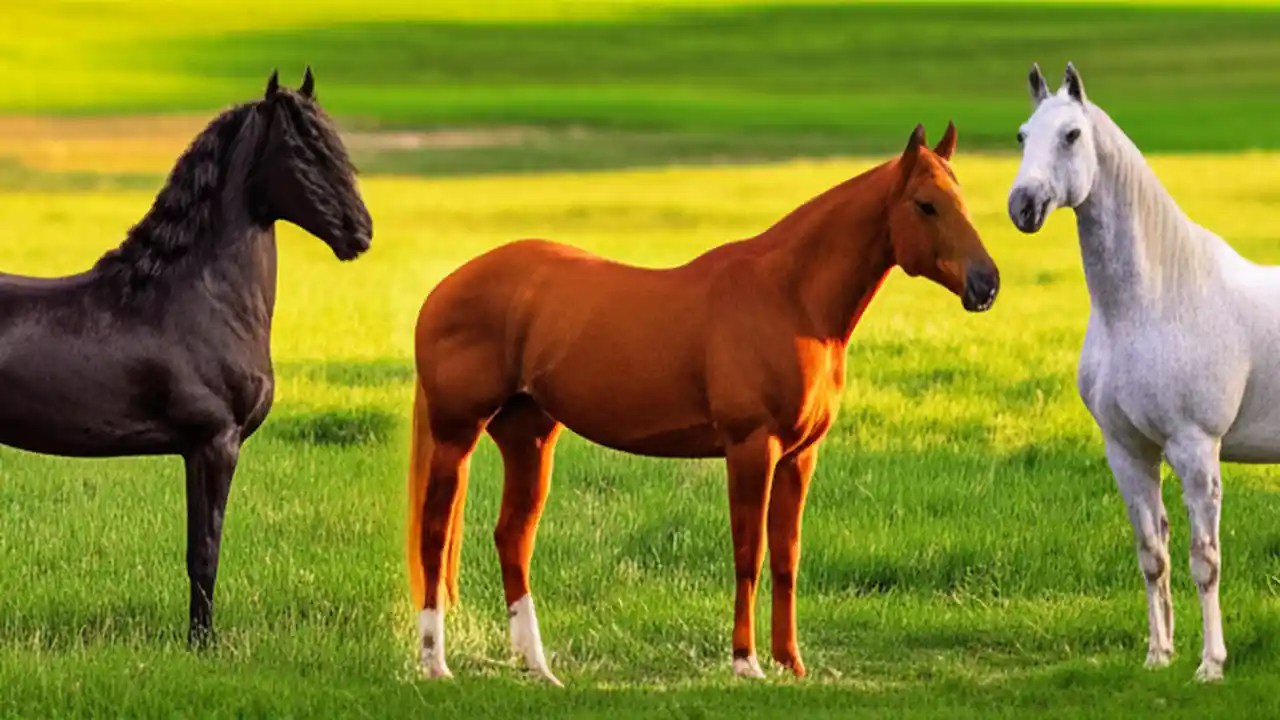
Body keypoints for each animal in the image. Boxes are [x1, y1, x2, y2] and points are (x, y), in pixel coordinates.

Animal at [0, 69, 372, 645]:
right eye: (301, 148)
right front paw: (203, 643)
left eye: (333, 143)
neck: (198, 296)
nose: (360, 232)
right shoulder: (212, 444)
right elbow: (204, 554)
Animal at [408, 123, 1000, 684]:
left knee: (512, 537)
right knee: (434, 534)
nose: (986, 284)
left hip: (528, 436)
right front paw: (746, 662)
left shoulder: (799, 457)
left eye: (962, 198)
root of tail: (443, 289)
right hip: (457, 435)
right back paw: (436, 664)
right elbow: (749, 555)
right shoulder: (751, 449)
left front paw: (792, 663)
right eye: (925, 204)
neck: (790, 300)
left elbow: (786, 557)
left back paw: (539, 669)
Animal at [1006, 63, 1271, 682]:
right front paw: (1159, 654)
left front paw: (1210, 665)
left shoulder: (1196, 450)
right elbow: (1153, 555)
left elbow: (1204, 560)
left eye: (1072, 135)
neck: (1153, 302)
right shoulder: (1128, 452)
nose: (1023, 206)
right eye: (1023, 135)